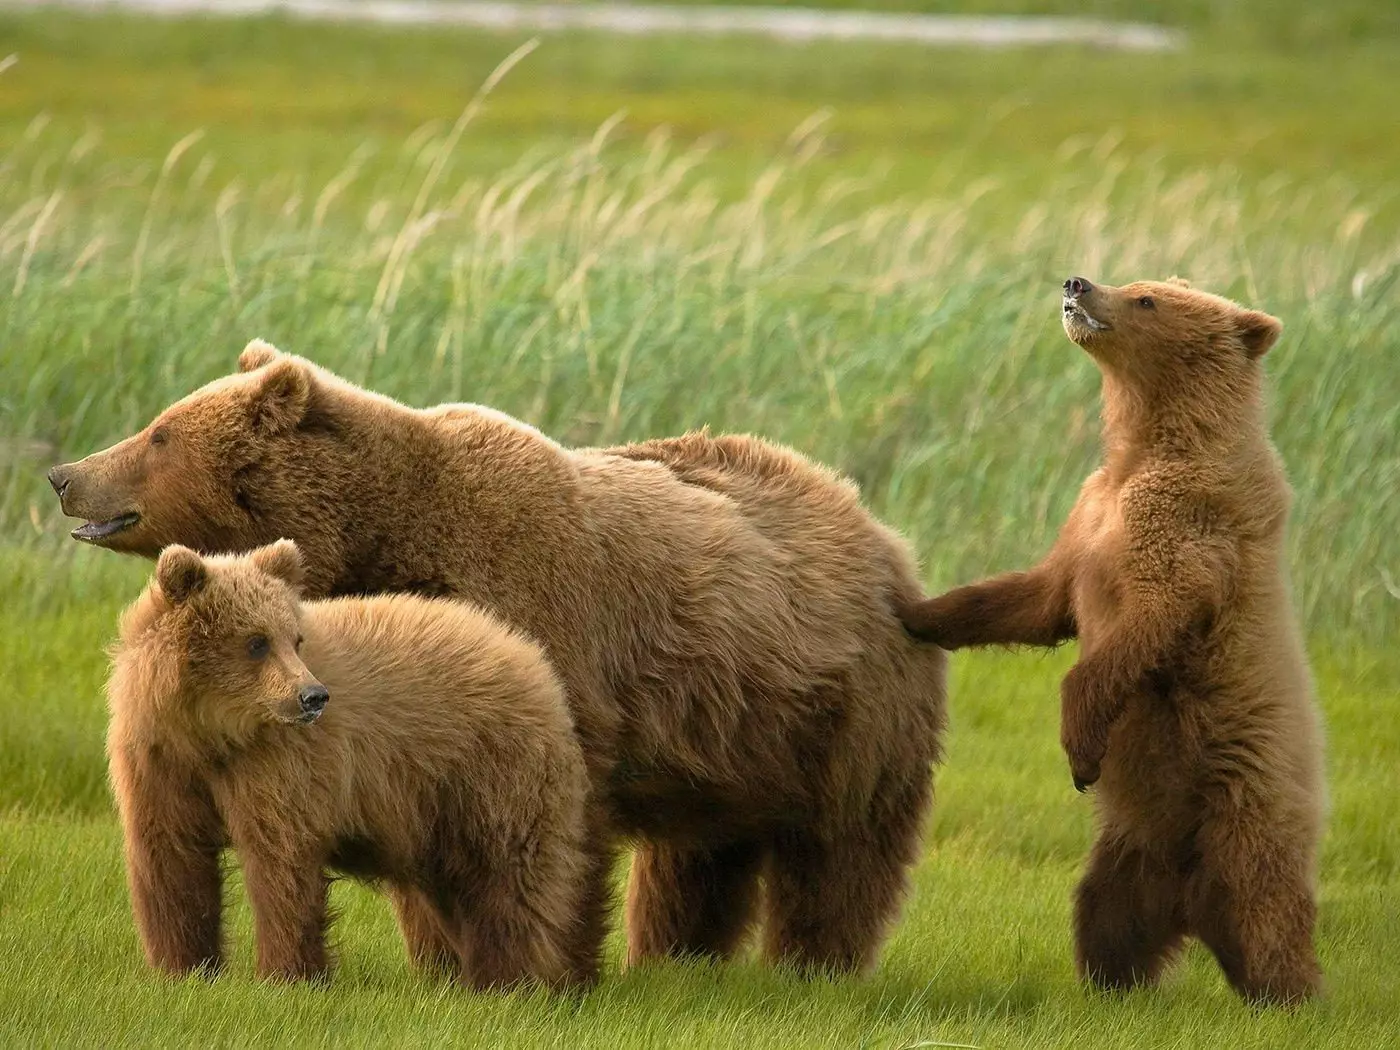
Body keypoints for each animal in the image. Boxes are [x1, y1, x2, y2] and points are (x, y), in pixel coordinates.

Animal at [57, 345, 952, 980]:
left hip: (846, 716)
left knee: (841, 851)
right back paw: (675, 957)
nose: (65, 475)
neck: (384, 537)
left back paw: (815, 966)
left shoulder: (545, 626)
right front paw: (442, 957)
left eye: (161, 432)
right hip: (729, 739)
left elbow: (553, 816)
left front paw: (551, 966)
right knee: (699, 855)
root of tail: (882, 536)